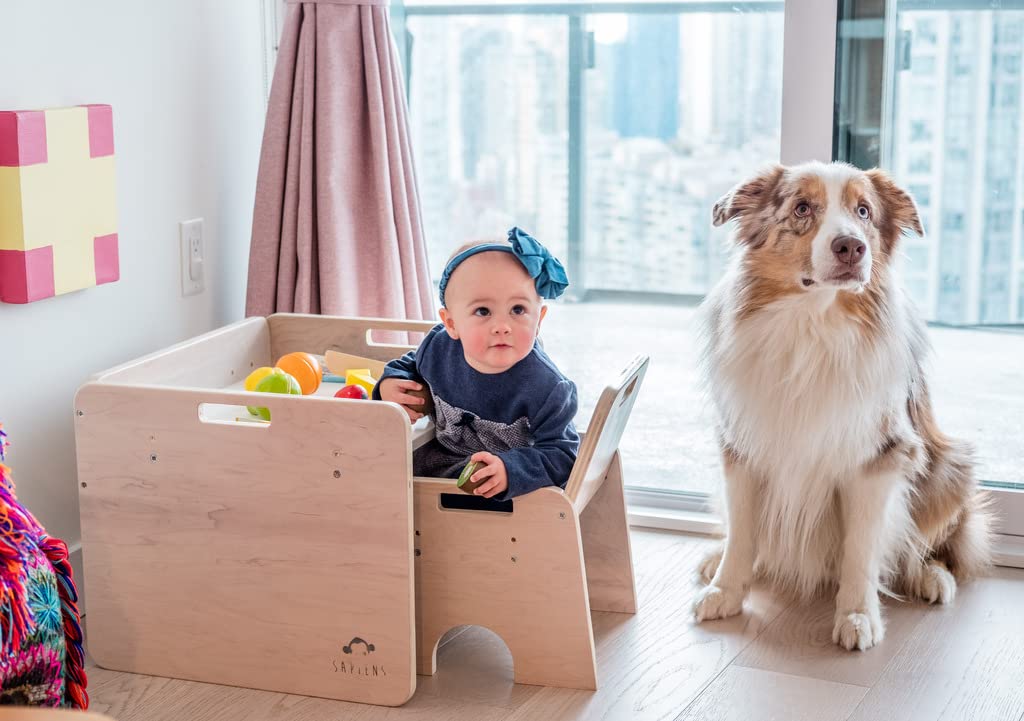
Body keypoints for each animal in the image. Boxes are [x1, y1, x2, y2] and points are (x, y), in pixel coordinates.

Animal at [696, 163, 991, 655]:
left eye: (864, 211)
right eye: (801, 208)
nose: (851, 246)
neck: (813, 326)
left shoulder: (880, 457)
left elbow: (861, 550)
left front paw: (857, 616)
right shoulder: (741, 446)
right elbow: (741, 532)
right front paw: (725, 590)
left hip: (951, 468)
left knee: (932, 546)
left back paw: (931, 577)